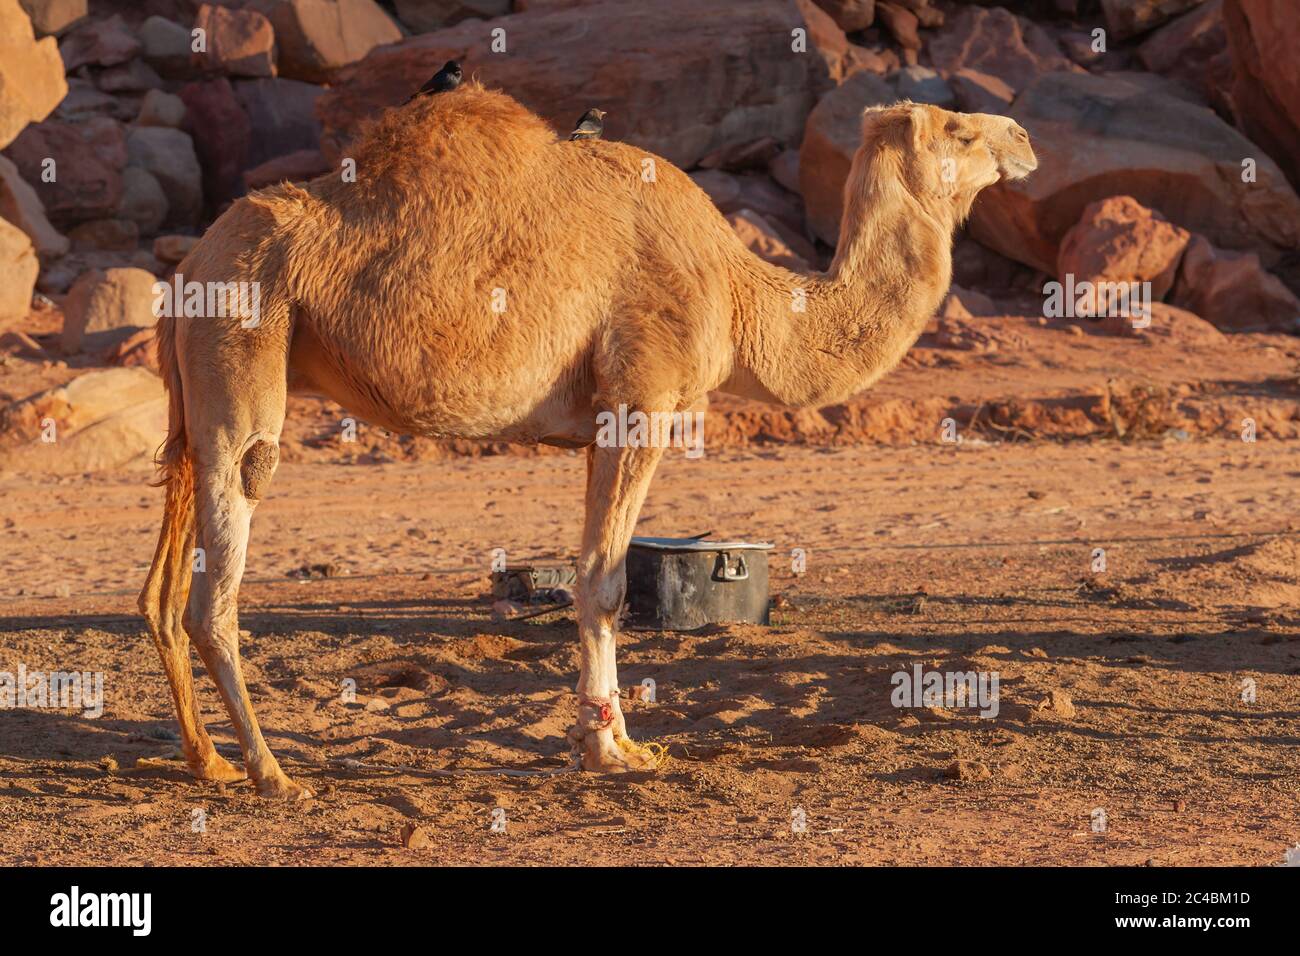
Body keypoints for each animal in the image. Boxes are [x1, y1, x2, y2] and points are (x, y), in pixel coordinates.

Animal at [138, 82, 1036, 799]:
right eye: (959, 130)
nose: (1024, 140)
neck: (741, 293)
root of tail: (190, 266)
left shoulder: (609, 413)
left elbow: (596, 573)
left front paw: (616, 742)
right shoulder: (641, 397)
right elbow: (602, 583)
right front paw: (610, 749)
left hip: (196, 384)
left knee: (163, 578)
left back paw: (208, 762)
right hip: (244, 334)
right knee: (221, 567)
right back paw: (270, 771)